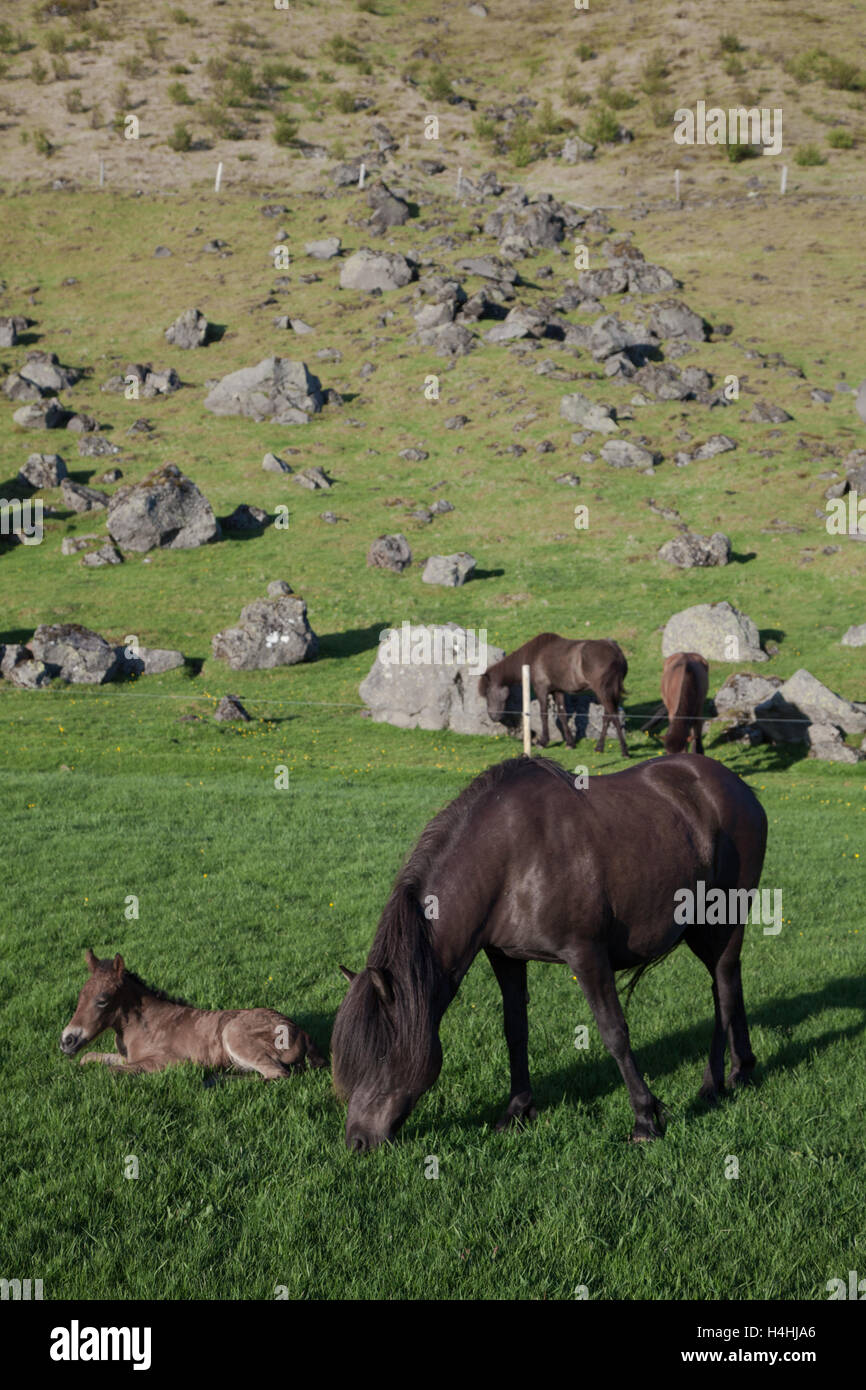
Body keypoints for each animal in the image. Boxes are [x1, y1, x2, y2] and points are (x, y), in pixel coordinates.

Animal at [60, 950, 326, 1077]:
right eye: (80, 996)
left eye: (102, 1001)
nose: (67, 1041)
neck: (142, 1026)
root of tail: (302, 1033)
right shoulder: (128, 1057)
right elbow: (89, 1058)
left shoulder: (169, 1062)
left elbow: (110, 1072)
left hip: (234, 1034)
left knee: (276, 1074)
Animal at [331, 754, 766, 1152]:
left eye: (380, 1055)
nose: (357, 1141)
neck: (509, 860)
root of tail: (737, 787)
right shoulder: (506, 957)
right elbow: (515, 1030)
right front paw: (517, 1109)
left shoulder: (587, 955)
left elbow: (614, 1032)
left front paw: (645, 1118)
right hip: (701, 931)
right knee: (727, 985)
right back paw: (736, 1070)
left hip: (722, 922)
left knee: (724, 987)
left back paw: (719, 1081)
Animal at [478, 633, 629, 756]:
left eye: (487, 692)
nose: (493, 717)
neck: (535, 654)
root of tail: (616, 651)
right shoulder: (558, 690)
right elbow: (562, 715)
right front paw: (570, 743)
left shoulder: (541, 689)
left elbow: (544, 714)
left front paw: (543, 742)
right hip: (609, 693)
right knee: (607, 717)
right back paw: (599, 747)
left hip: (603, 691)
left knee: (613, 716)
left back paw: (624, 751)